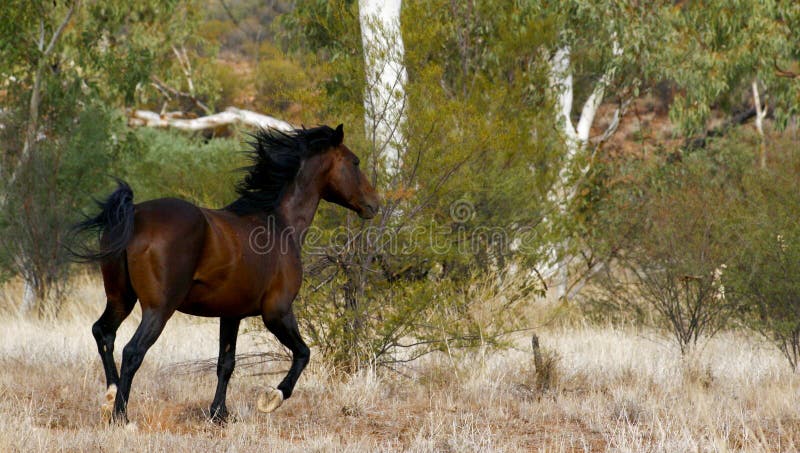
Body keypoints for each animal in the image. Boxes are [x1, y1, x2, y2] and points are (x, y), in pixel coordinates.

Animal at [71, 124, 380, 423]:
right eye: (355, 162)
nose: (373, 204)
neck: (279, 225)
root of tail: (133, 215)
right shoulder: (277, 311)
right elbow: (303, 353)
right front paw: (272, 398)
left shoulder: (231, 314)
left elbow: (226, 363)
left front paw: (219, 414)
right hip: (158, 309)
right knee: (133, 351)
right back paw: (121, 415)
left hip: (120, 299)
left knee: (103, 333)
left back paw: (110, 396)